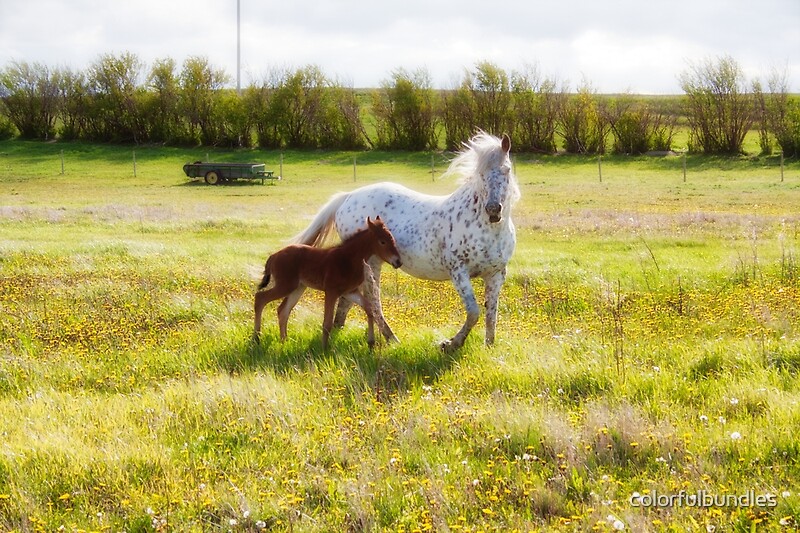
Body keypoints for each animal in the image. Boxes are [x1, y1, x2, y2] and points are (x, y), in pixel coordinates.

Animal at [254, 216, 402, 351]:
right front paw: (324, 350)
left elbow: (369, 308)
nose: (398, 262)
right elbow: (327, 323)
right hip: (285, 285)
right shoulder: (331, 291)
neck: (348, 260)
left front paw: (371, 343)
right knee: (260, 298)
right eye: (382, 241)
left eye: (393, 239)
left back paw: (284, 341)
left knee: (283, 310)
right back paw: (256, 338)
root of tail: (274, 255)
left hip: (298, 288)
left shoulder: (350, 292)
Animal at [292, 132, 520, 352]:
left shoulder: (496, 274)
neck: (485, 228)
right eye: (481, 174)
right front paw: (449, 344)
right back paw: (391, 339)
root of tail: (348, 197)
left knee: (348, 298)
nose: (493, 210)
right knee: (374, 301)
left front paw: (489, 347)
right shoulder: (458, 271)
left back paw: (339, 329)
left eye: (507, 170)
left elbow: (491, 314)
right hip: (372, 264)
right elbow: (474, 312)